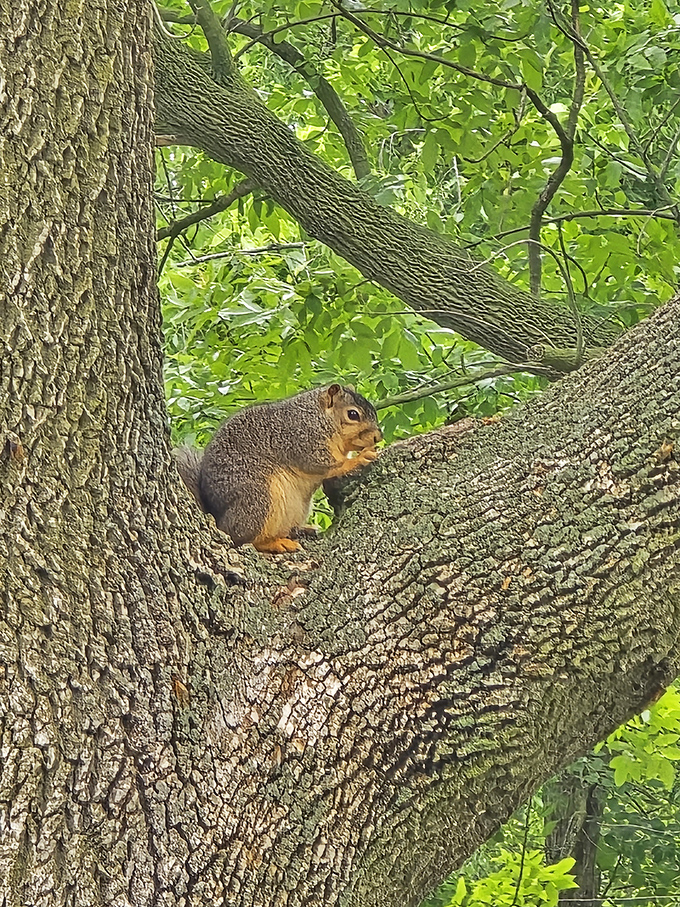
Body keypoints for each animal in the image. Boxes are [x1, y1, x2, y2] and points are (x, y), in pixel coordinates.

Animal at [174, 384, 382, 553]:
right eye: (353, 414)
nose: (378, 437)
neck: (319, 416)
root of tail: (217, 516)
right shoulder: (303, 440)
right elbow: (328, 464)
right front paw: (359, 458)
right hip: (258, 499)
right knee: (239, 537)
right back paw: (276, 543)